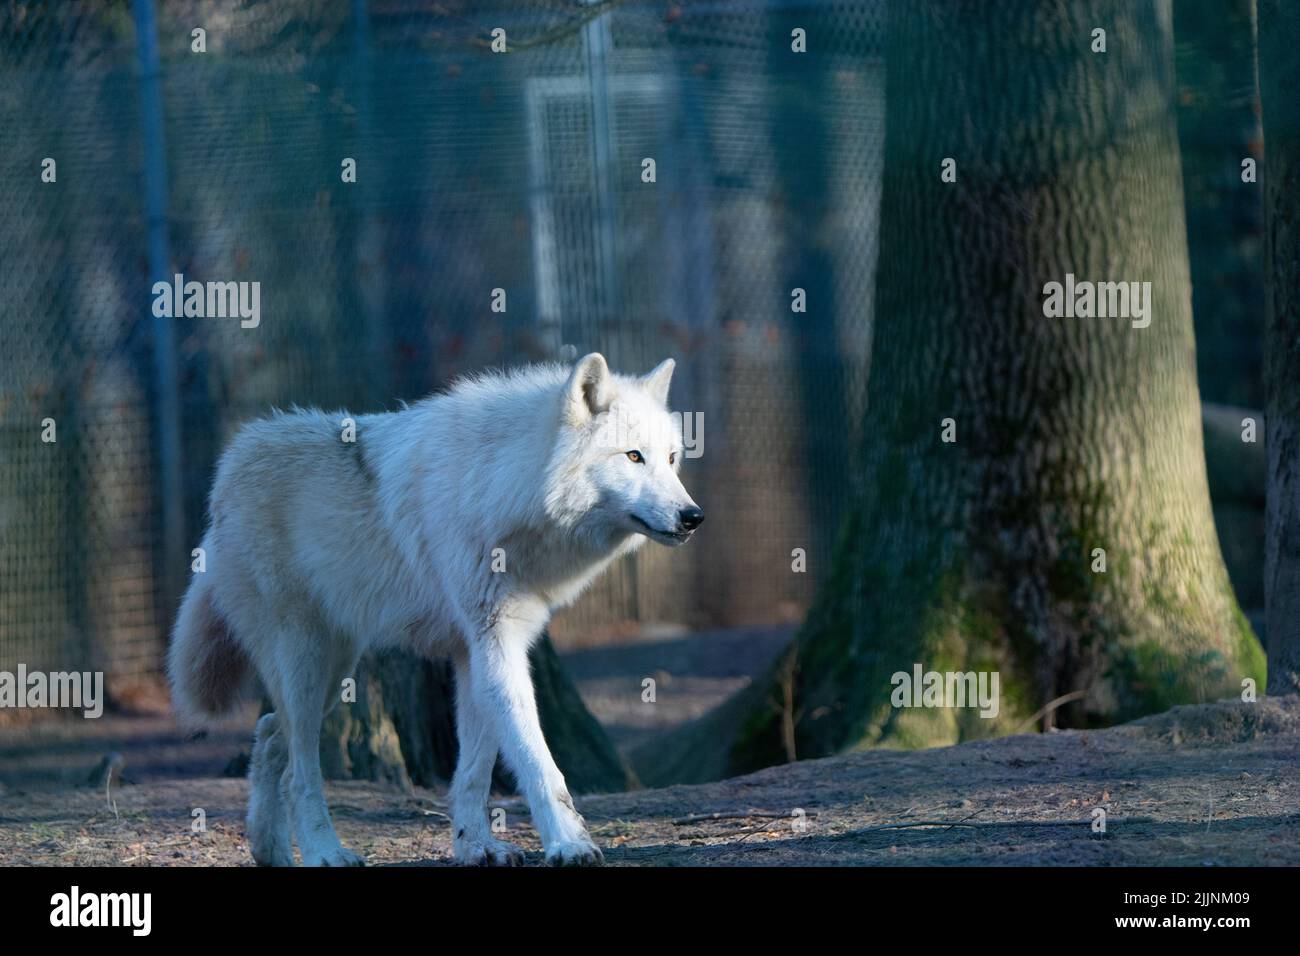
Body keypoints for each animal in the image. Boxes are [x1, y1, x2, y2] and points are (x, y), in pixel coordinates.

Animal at [167, 353, 702, 866]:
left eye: (672, 459)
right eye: (633, 456)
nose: (693, 517)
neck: (502, 487)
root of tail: (229, 465)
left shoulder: (476, 651)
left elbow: (475, 770)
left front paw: (475, 846)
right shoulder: (495, 642)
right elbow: (535, 758)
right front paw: (569, 844)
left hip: (334, 668)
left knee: (268, 733)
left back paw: (271, 849)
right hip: (306, 659)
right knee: (300, 769)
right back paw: (323, 852)